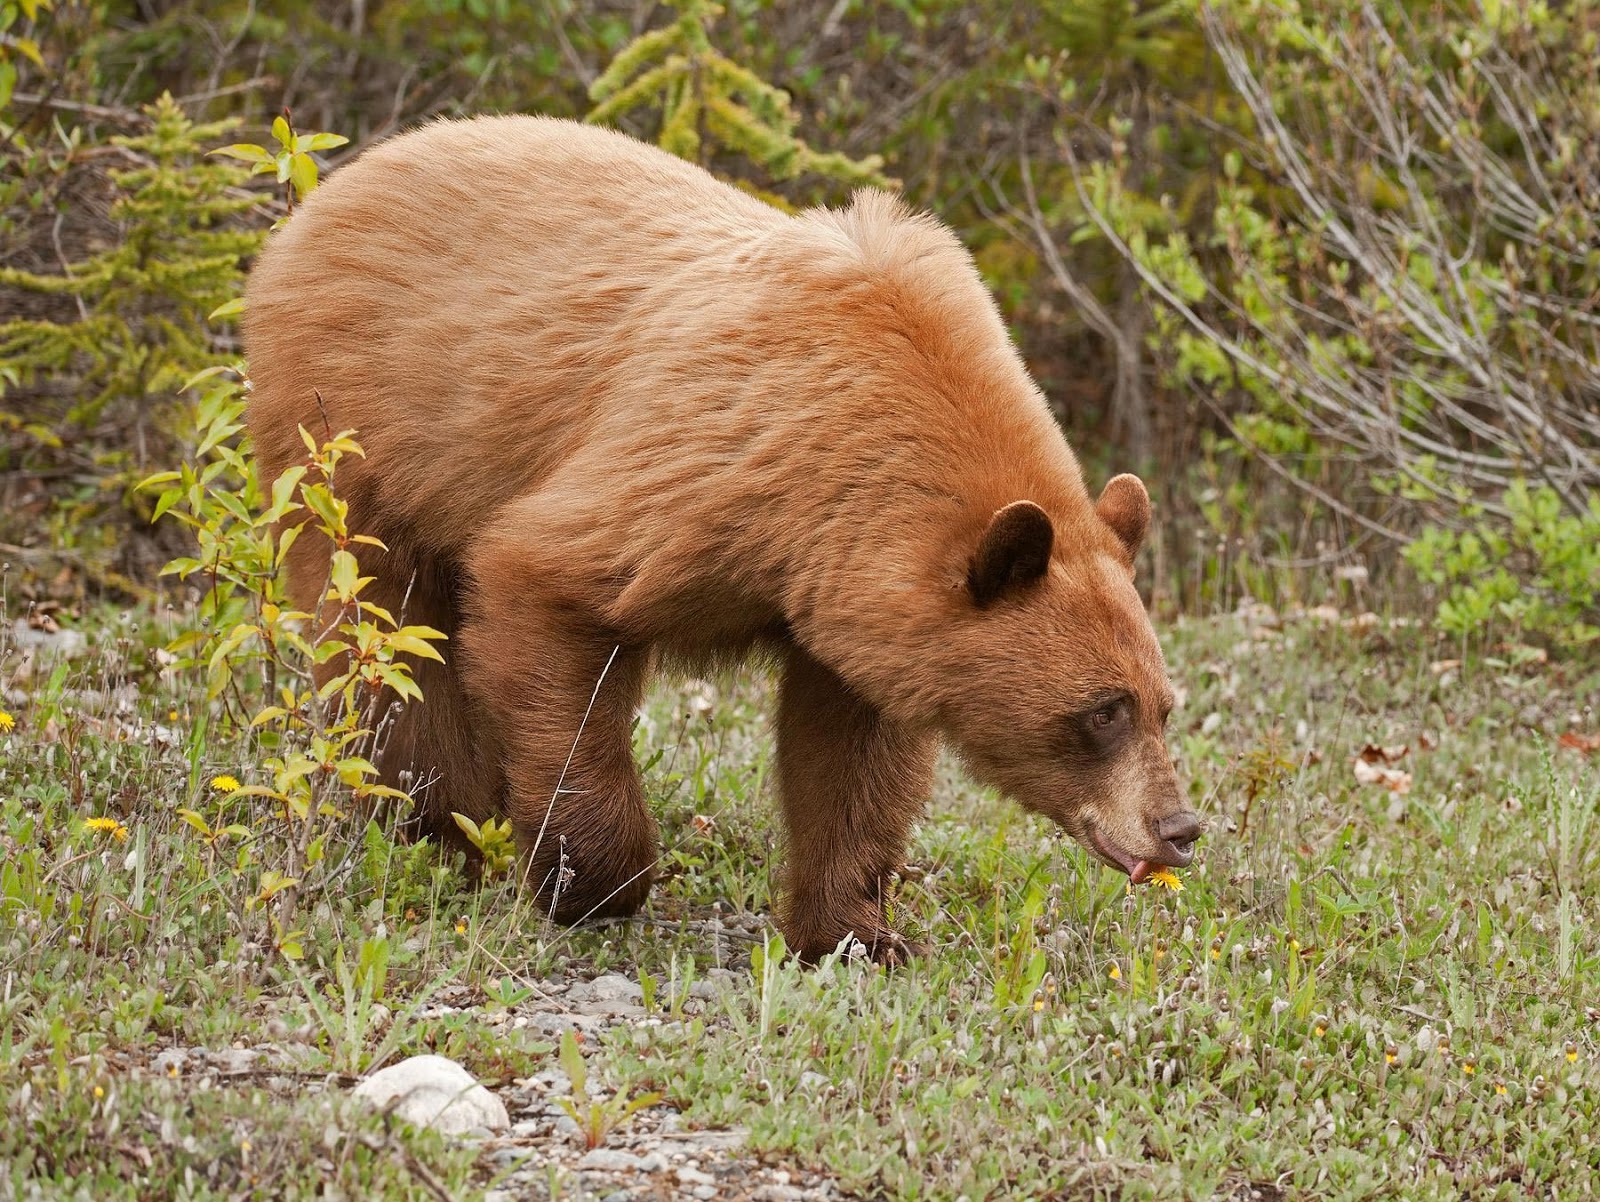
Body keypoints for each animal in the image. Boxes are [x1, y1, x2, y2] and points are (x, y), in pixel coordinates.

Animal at [243, 115, 1200, 964]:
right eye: (1102, 711)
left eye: (1163, 704)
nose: (1180, 827)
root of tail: (329, 190)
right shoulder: (712, 467)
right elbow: (546, 585)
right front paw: (587, 881)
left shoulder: (844, 586)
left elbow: (849, 753)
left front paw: (859, 931)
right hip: (355, 432)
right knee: (384, 627)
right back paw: (434, 829)